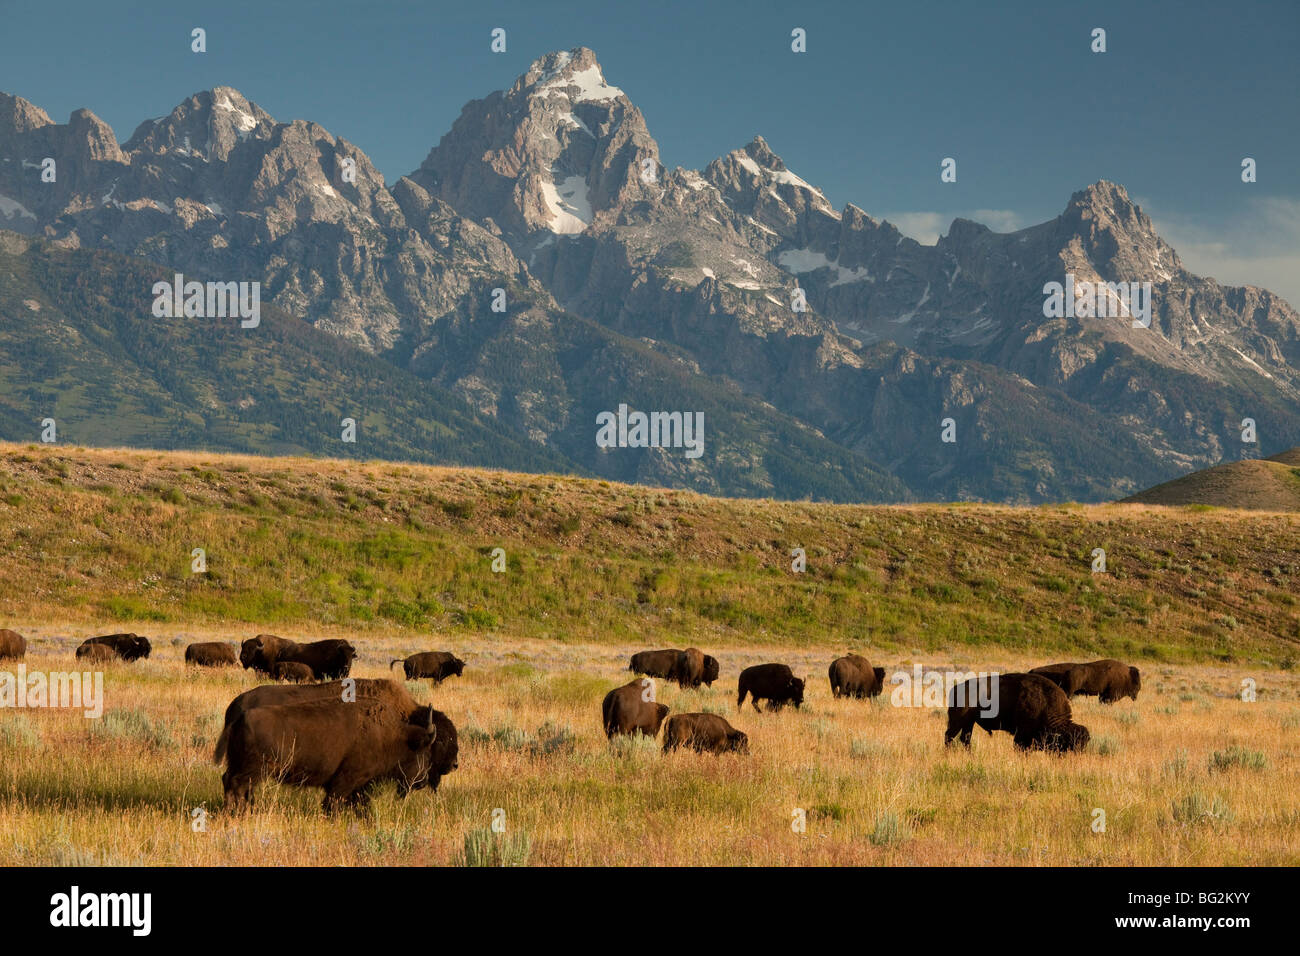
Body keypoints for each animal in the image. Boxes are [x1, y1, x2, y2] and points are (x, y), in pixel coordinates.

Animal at [945, 672, 1090, 752]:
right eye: (1070, 744)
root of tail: (955, 689)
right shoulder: (1022, 734)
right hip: (958, 721)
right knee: (949, 736)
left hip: (969, 722)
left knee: (965, 739)